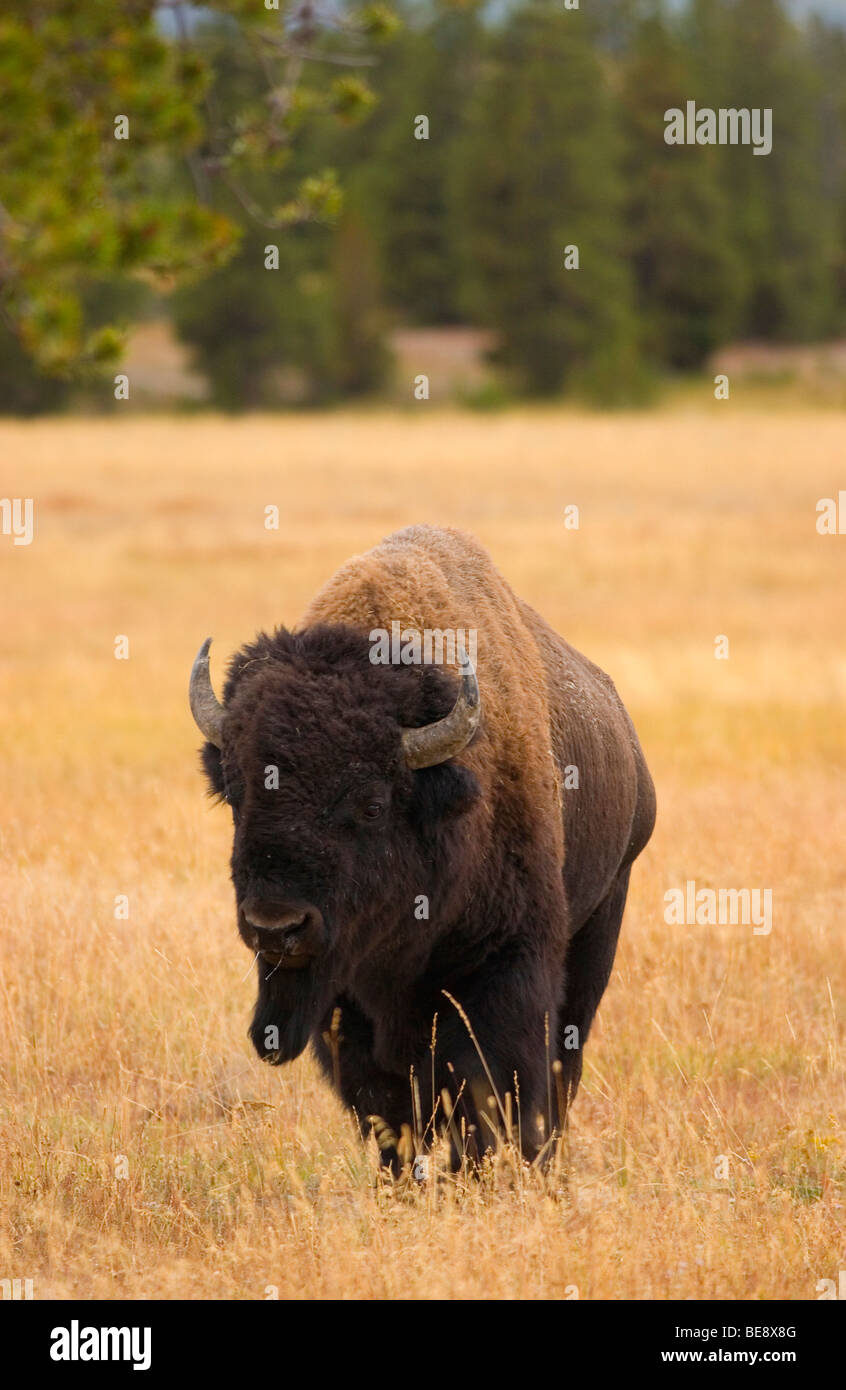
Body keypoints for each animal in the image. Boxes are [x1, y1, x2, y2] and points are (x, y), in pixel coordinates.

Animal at [190, 525, 655, 1168]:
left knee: (565, 1067)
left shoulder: (501, 972)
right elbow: (387, 1107)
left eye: (372, 804)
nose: (275, 926)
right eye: (235, 794)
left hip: (599, 931)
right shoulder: (348, 1006)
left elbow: (490, 1092)